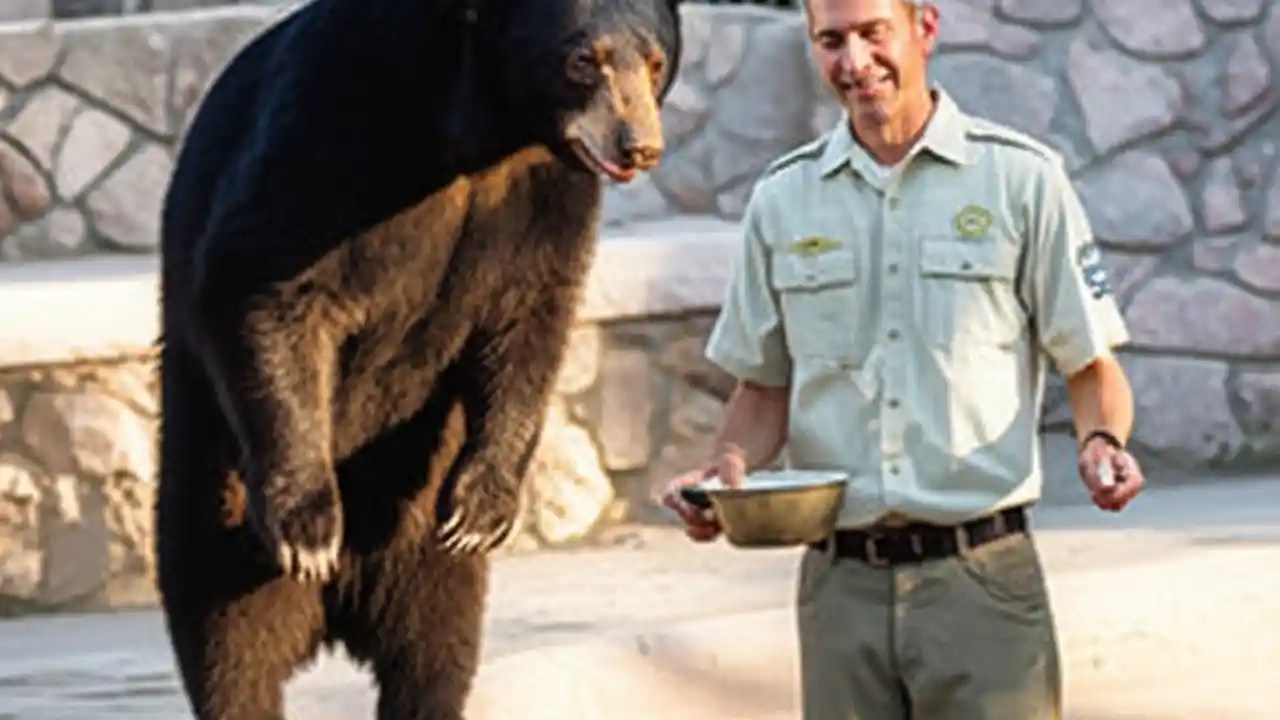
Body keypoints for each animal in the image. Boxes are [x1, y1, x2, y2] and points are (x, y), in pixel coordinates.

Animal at [152, 0, 682, 716]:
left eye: (654, 62)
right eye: (583, 60)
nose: (638, 146)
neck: (484, 133)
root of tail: (336, 613)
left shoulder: (545, 195)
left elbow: (530, 324)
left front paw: (481, 510)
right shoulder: (334, 114)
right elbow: (259, 277)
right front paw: (308, 527)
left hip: (416, 538)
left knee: (438, 639)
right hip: (217, 478)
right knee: (228, 631)